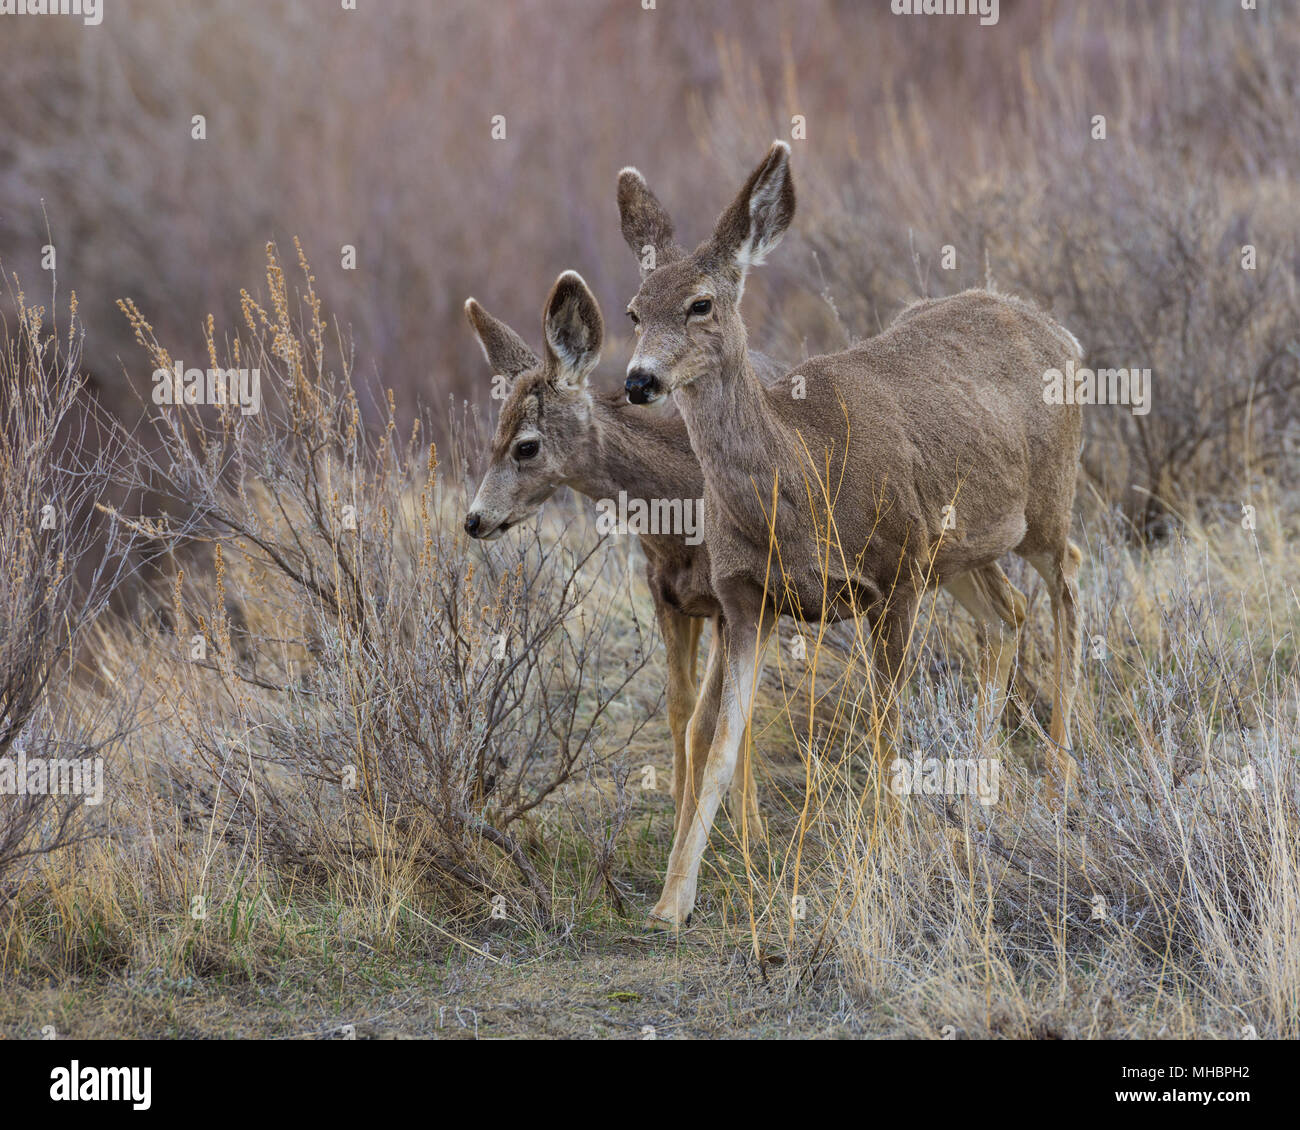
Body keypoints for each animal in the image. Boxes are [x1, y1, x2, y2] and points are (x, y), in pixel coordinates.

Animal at [462, 269, 792, 837]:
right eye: (493, 440)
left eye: (526, 445)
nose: (475, 519)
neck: (681, 509)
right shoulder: (662, 591)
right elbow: (680, 707)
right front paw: (681, 810)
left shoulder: (735, 600)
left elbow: (714, 718)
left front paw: (732, 825)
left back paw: (746, 815)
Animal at [618, 141, 1085, 926]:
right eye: (631, 311)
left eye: (701, 303)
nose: (639, 380)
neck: (797, 482)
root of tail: (1057, 328)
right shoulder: (747, 600)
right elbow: (716, 741)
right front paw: (671, 901)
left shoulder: (891, 573)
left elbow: (884, 724)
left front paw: (887, 853)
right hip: (959, 548)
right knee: (1008, 613)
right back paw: (982, 799)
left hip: (1044, 501)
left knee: (1068, 583)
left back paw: (1056, 786)